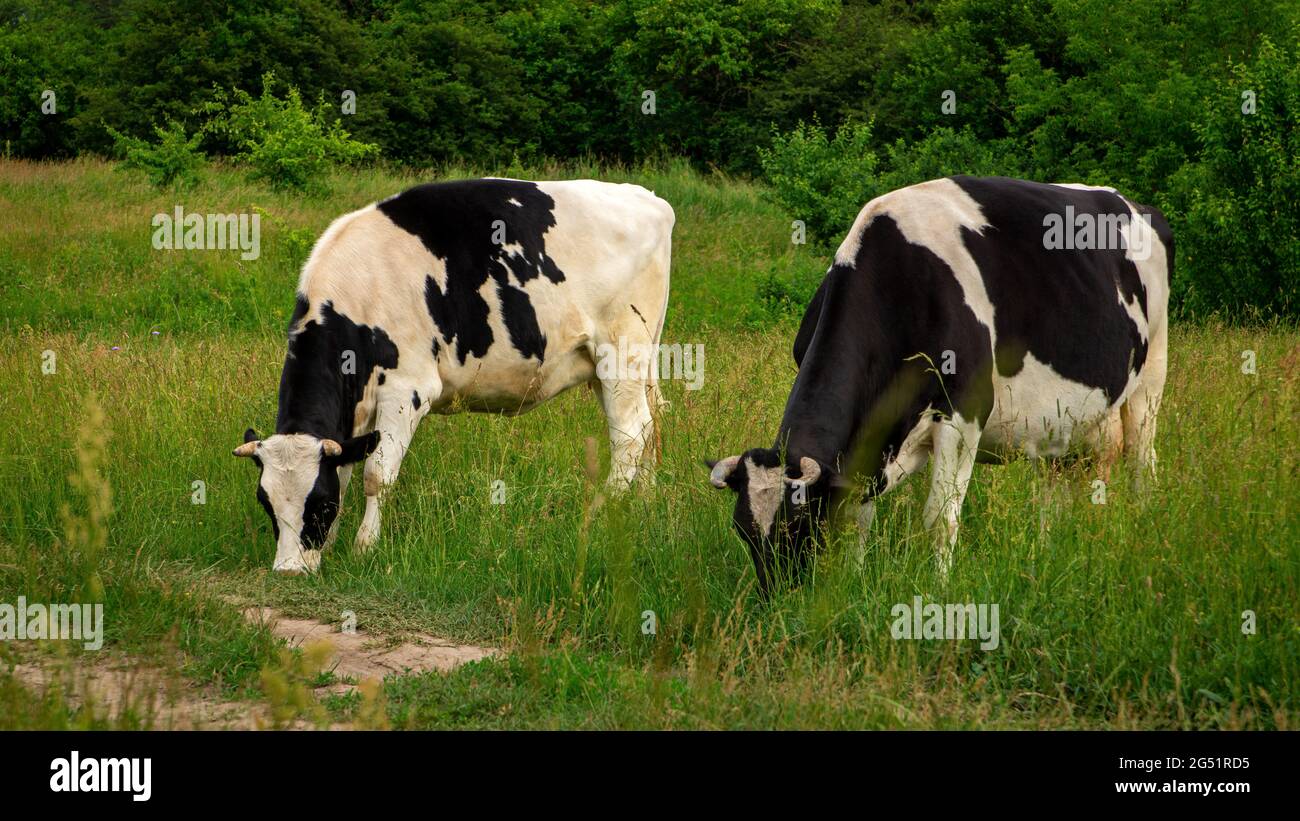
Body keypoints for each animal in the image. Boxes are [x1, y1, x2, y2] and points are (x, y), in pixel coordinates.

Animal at [234, 178, 674, 573]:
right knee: (649, 424)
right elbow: (345, 468)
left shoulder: (407, 389)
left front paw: (364, 548)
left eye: (318, 504)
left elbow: (377, 475)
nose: (289, 570)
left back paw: (606, 511)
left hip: (621, 351)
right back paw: (645, 506)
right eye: (265, 502)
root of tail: (648, 199)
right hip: (619, 362)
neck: (358, 289)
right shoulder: (353, 408)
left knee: (629, 432)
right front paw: (331, 546)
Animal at [708, 176, 1171, 595]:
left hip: (1151, 377)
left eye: (798, 524)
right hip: (1065, 420)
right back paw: (1047, 554)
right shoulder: (868, 439)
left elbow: (939, 519)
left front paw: (939, 588)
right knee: (1056, 488)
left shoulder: (963, 415)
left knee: (1142, 464)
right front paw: (854, 580)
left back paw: (1143, 537)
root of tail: (1134, 204)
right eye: (743, 531)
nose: (774, 599)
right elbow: (858, 516)